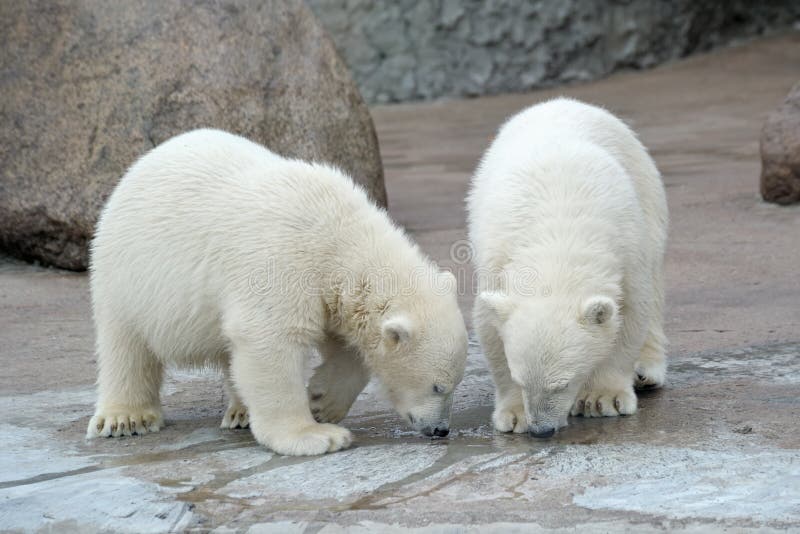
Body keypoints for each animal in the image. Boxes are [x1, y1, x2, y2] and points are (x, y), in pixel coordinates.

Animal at [86, 129, 468, 456]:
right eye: (438, 386)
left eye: (455, 383)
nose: (441, 429)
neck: (336, 233)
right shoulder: (281, 262)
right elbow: (270, 340)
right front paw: (316, 435)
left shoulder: (329, 291)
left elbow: (344, 341)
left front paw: (322, 400)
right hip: (128, 273)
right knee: (126, 345)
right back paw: (126, 418)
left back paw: (240, 411)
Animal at [467, 98, 668, 438]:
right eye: (521, 379)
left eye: (562, 383)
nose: (542, 430)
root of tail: (562, 101)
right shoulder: (496, 260)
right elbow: (489, 327)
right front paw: (514, 415)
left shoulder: (626, 246)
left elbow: (630, 312)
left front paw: (603, 398)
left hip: (647, 192)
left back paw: (647, 371)